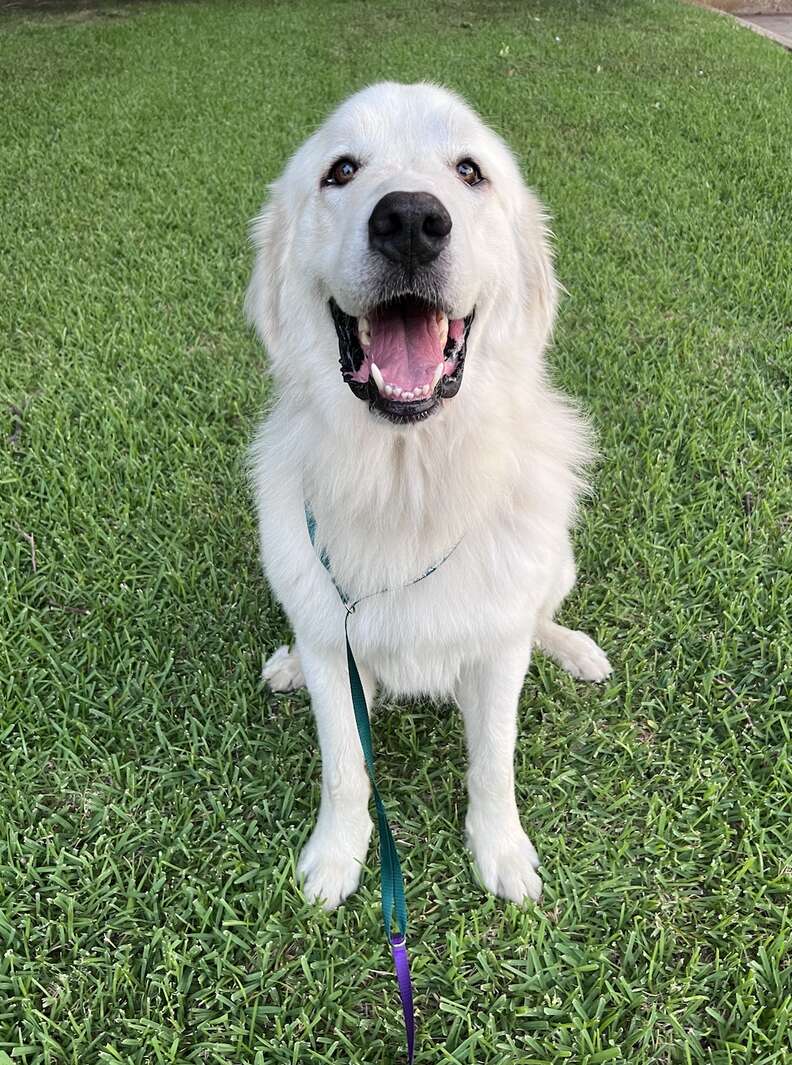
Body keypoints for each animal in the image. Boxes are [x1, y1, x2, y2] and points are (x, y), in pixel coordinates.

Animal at [246, 85, 613, 915]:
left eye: (469, 170)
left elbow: (494, 761)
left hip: (558, 561)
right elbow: (345, 769)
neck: (408, 482)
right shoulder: (334, 644)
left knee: (544, 615)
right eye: (342, 170)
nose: (410, 220)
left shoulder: (498, 651)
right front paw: (337, 857)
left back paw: (576, 649)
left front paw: (500, 851)